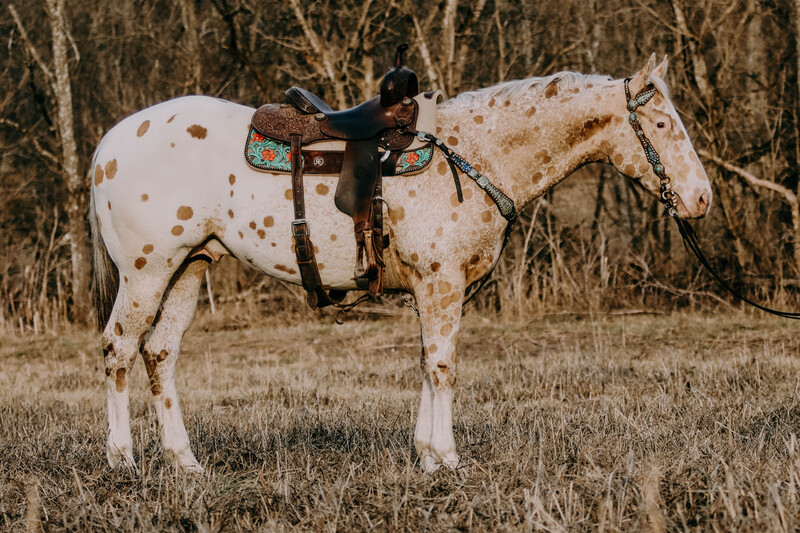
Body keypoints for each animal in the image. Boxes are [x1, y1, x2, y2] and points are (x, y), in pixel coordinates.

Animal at [90, 54, 711, 473]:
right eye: (661, 125)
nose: (701, 198)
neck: (476, 154)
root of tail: (110, 143)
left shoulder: (432, 289)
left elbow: (425, 363)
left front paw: (426, 454)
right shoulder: (442, 283)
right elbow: (443, 366)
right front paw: (448, 457)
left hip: (189, 267)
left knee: (159, 353)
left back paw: (184, 462)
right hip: (146, 271)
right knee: (119, 348)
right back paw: (122, 459)